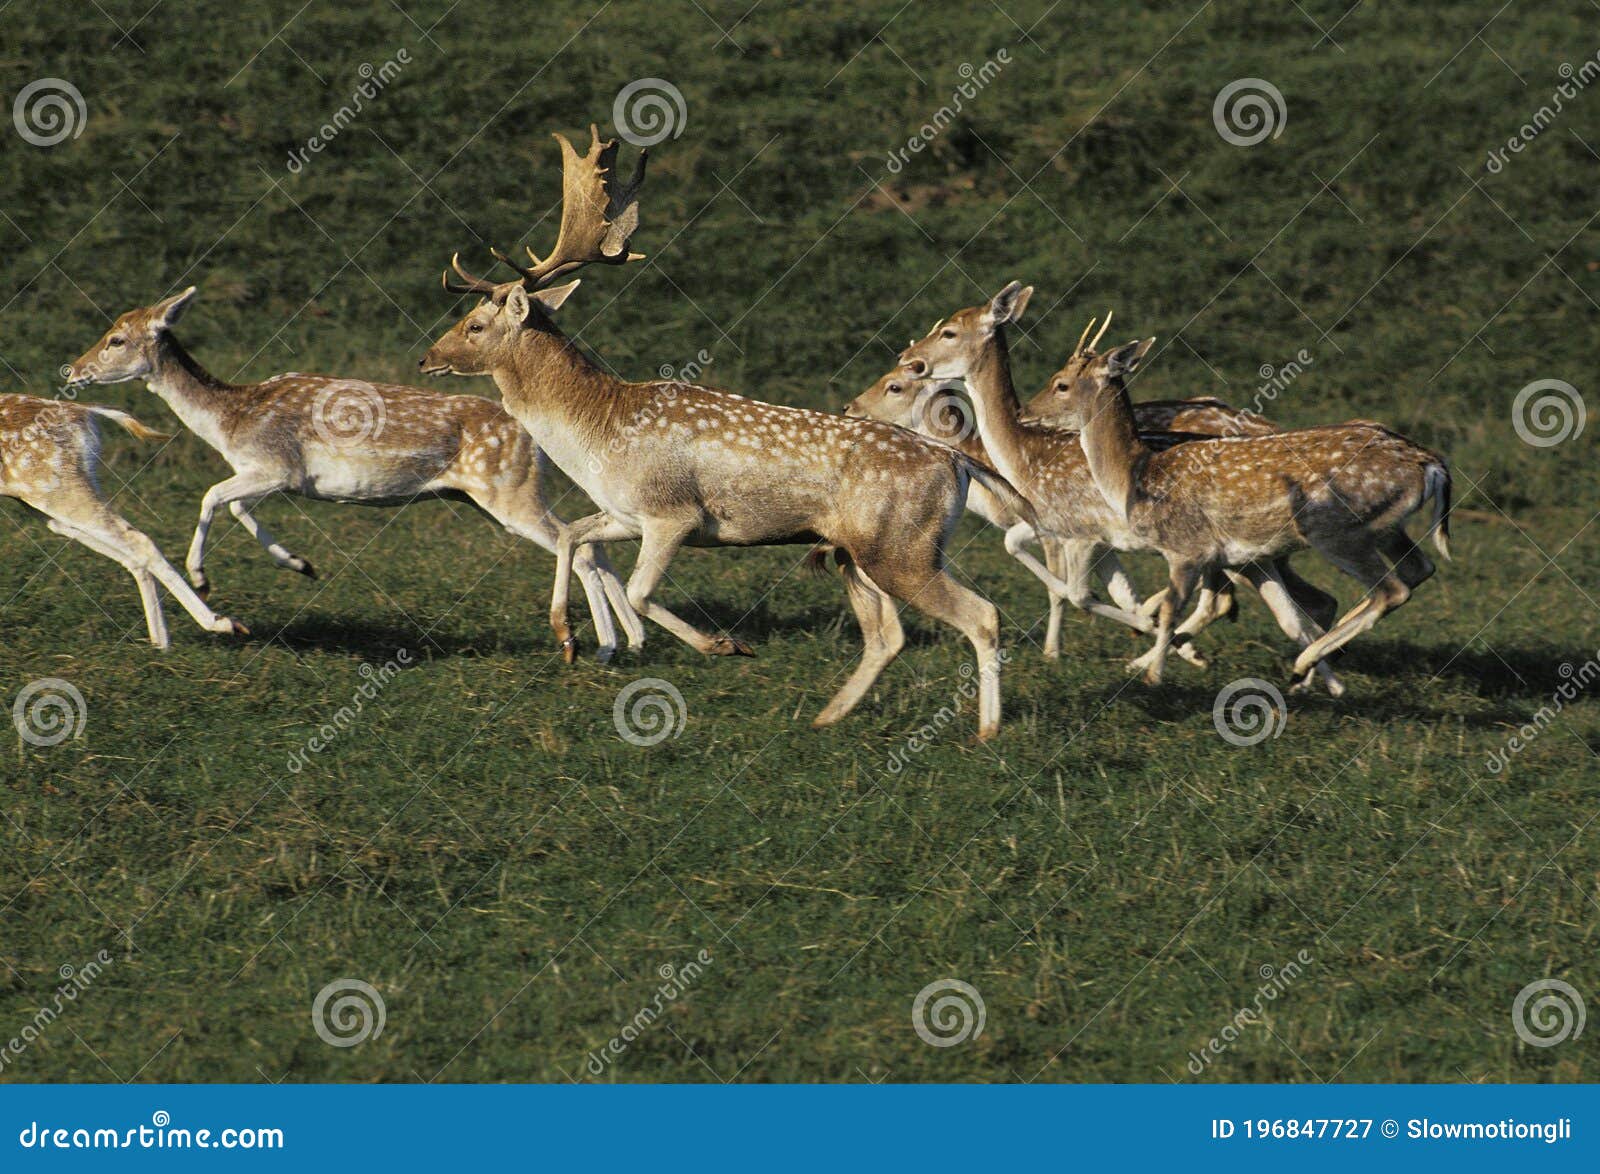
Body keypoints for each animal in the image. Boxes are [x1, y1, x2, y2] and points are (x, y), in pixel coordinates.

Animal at [1, 393, 247, 647]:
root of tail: (82, 411)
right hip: (51, 501)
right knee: (130, 551)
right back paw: (161, 643)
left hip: (56, 487)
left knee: (138, 540)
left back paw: (222, 624)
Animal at [63, 288, 667, 662]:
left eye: (117, 339)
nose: (71, 370)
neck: (230, 420)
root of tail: (531, 436)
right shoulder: (269, 474)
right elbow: (234, 504)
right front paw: (300, 563)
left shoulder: (277, 463)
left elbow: (212, 496)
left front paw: (203, 577)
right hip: (494, 495)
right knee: (594, 539)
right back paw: (629, 642)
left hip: (508, 490)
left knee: (580, 545)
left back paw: (591, 645)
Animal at [420, 125, 1026, 739]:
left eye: (475, 325)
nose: (427, 357)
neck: (597, 431)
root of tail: (957, 461)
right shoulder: (625, 514)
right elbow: (573, 536)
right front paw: (566, 637)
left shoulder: (673, 513)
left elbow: (639, 591)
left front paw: (725, 645)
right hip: (858, 553)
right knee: (887, 634)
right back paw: (827, 716)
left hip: (904, 549)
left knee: (981, 615)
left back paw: (987, 731)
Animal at [897, 285, 1351, 692]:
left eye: (949, 331)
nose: (909, 359)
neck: (1025, 455)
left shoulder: (1079, 532)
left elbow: (1070, 588)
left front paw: (1067, 648)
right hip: (1254, 552)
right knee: (1303, 604)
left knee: (1253, 600)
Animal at [1052, 335, 1451, 688]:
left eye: (1061, 385)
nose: (1035, 414)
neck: (1135, 473)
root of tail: (1431, 465)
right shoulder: (1244, 558)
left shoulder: (1188, 551)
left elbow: (1170, 607)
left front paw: (1152, 674)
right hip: (1381, 529)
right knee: (1414, 569)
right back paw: (1311, 666)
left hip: (1336, 532)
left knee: (1389, 589)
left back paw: (1303, 664)